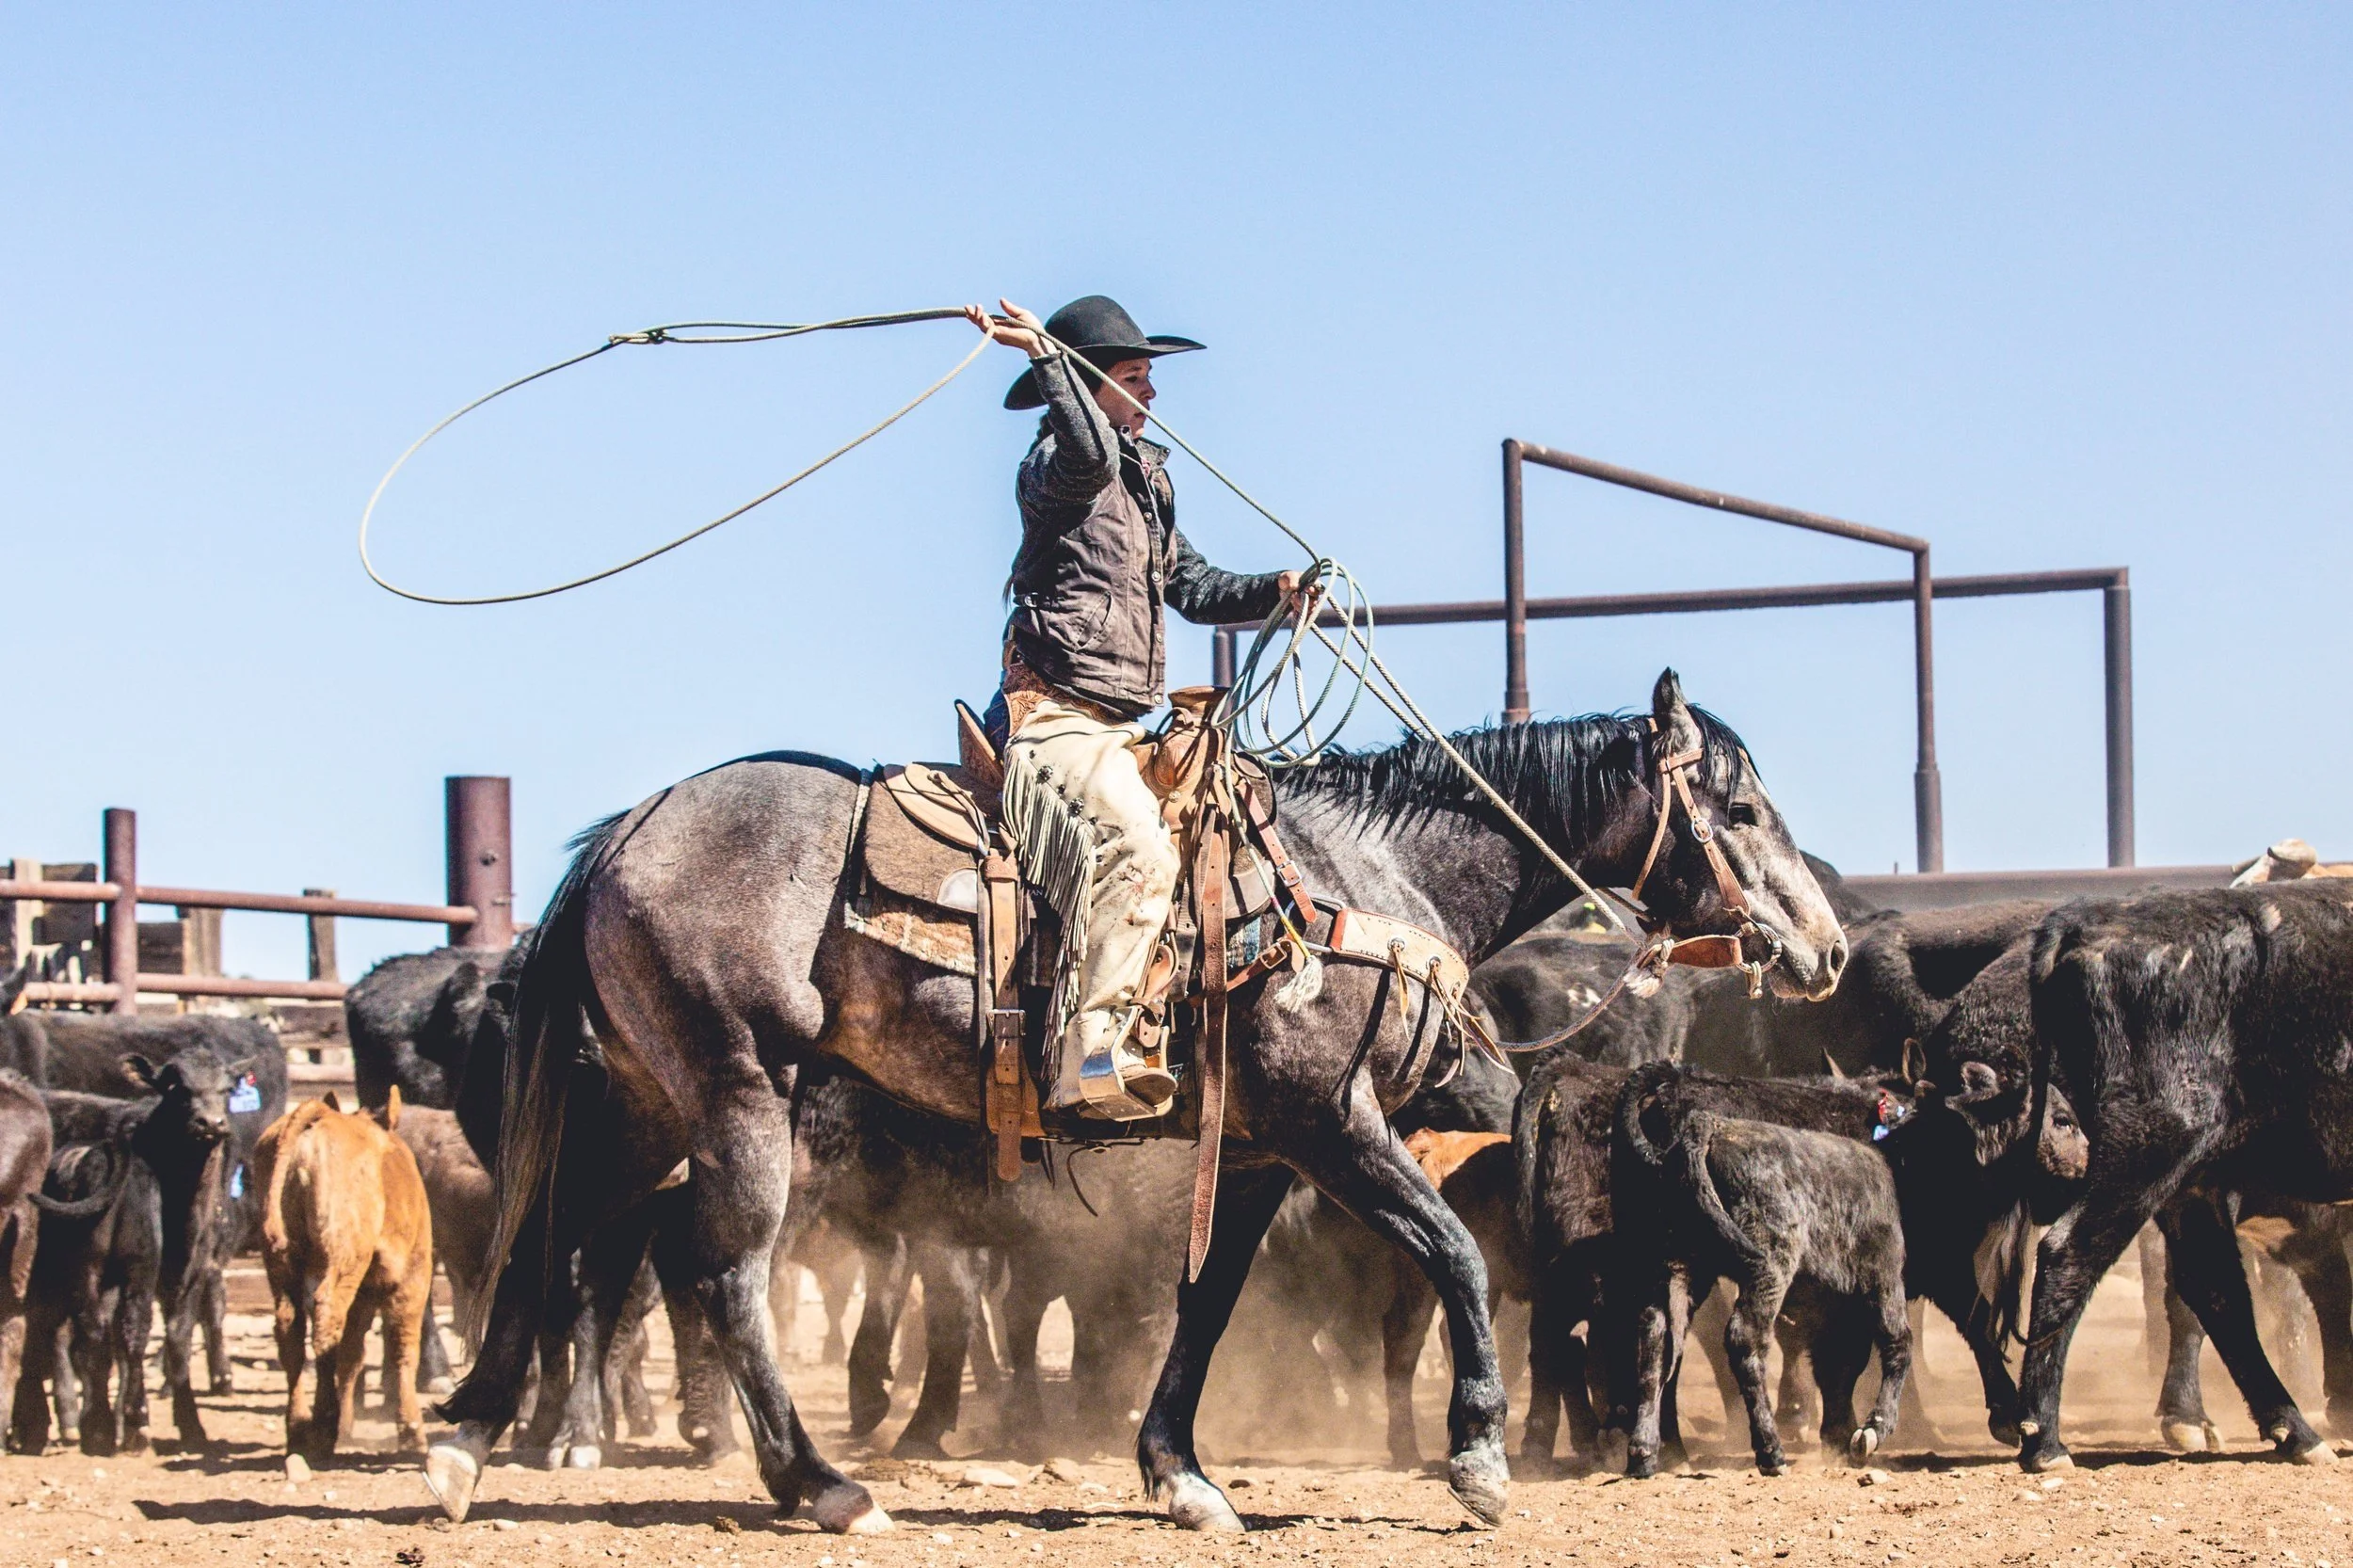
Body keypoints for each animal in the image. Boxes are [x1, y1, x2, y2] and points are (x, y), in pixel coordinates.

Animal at [424, 668, 1848, 1534]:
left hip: (645, 1104)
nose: (1826, 948)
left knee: (554, 1241)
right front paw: (1479, 1456)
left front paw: (1180, 1471)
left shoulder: (1268, 1147)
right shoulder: (1334, 1123)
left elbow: (1207, 1298)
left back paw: (470, 1438)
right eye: (1738, 805)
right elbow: (1453, 1252)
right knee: (719, 1271)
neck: (1351, 880)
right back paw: (821, 1483)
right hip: (736, 1092)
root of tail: (634, 823)